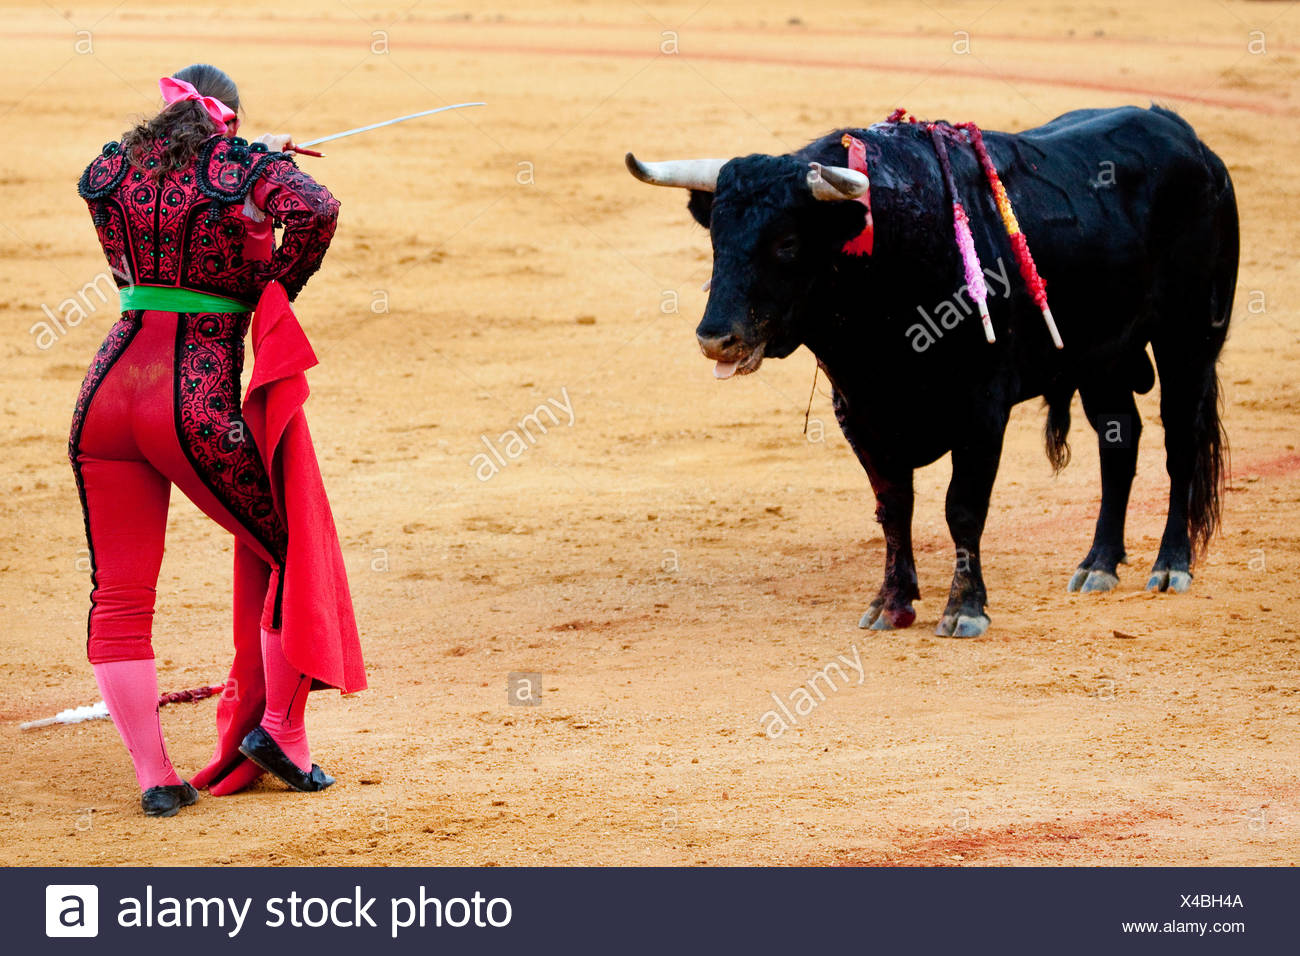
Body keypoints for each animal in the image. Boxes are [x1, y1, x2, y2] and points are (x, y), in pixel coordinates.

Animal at [626, 105, 1237, 637]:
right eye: (716, 237)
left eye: (789, 243)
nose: (715, 338)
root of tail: (1191, 141)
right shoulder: (859, 410)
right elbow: (894, 507)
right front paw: (891, 604)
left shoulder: (982, 409)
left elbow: (962, 508)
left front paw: (965, 609)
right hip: (1103, 359)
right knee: (1120, 440)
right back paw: (1099, 564)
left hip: (1188, 340)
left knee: (1180, 443)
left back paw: (1170, 566)